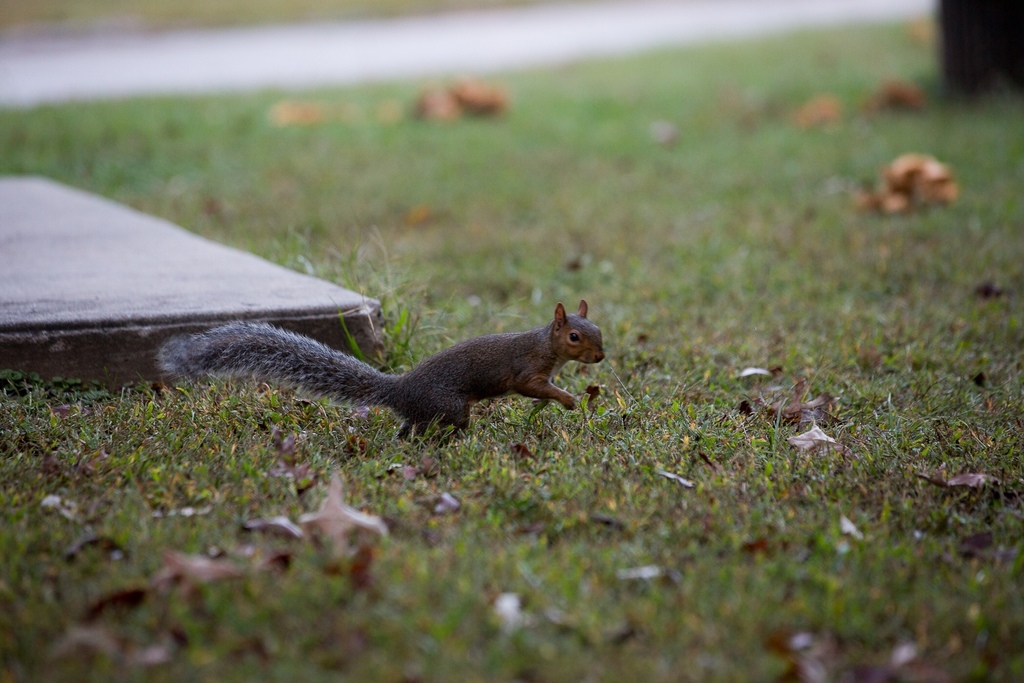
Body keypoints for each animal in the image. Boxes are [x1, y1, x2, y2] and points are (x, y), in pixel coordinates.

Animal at [158, 300, 605, 436]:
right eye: (574, 337)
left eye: (598, 330)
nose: (600, 358)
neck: (545, 345)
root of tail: (400, 389)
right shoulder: (526, 371)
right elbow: (534, 387)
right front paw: (567, 400)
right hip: (450, 406)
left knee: (408, 426)